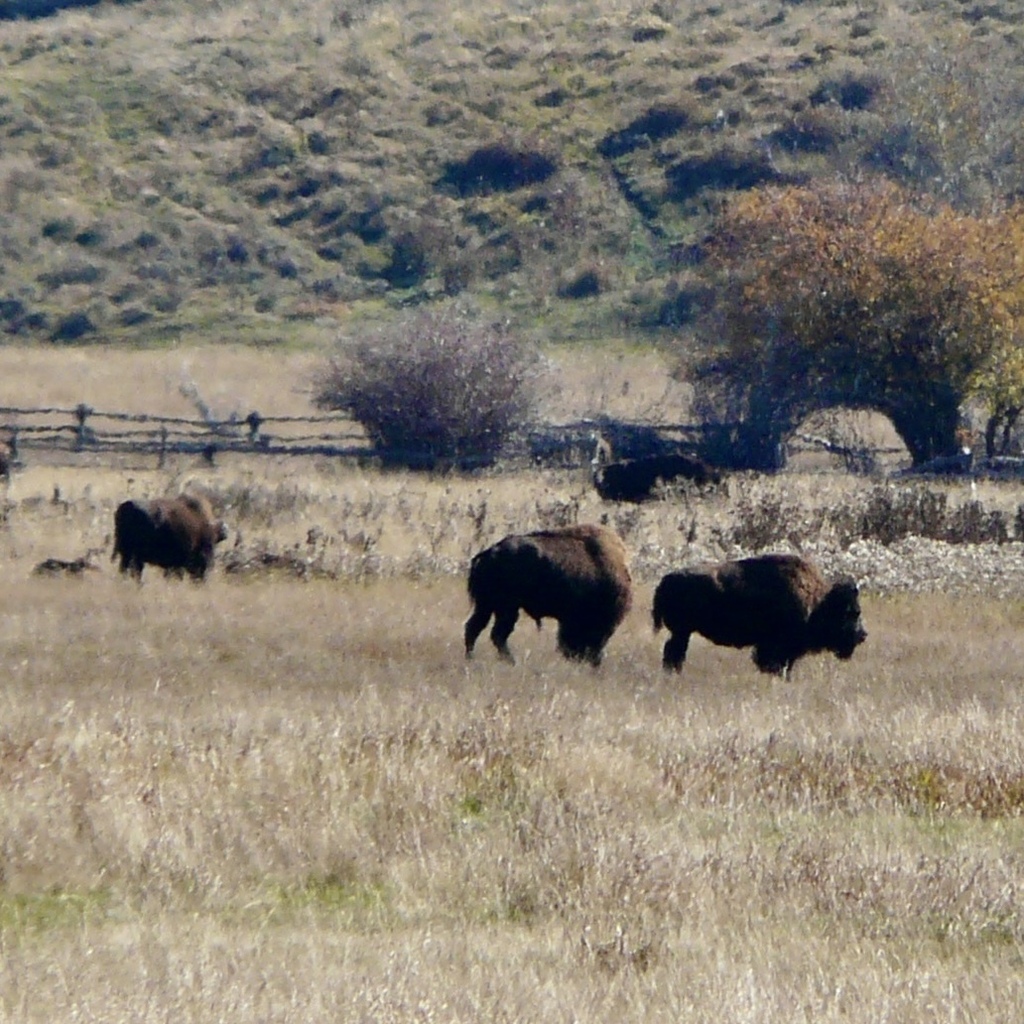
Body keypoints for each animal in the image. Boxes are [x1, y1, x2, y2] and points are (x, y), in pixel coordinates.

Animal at [465, 523, 633, 666]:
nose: (590, 660)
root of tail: (488, 554)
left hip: (488, 606)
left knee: (475, 628)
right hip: (505, 608)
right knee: (496, 634)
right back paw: (511, 662)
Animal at [652, 553, 866, 675]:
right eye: (853, 612)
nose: (863, 635)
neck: (818, 600)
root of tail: (665, 580)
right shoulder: (777, 647)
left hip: (682, 632)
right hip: (681, 632)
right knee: (673, 652)